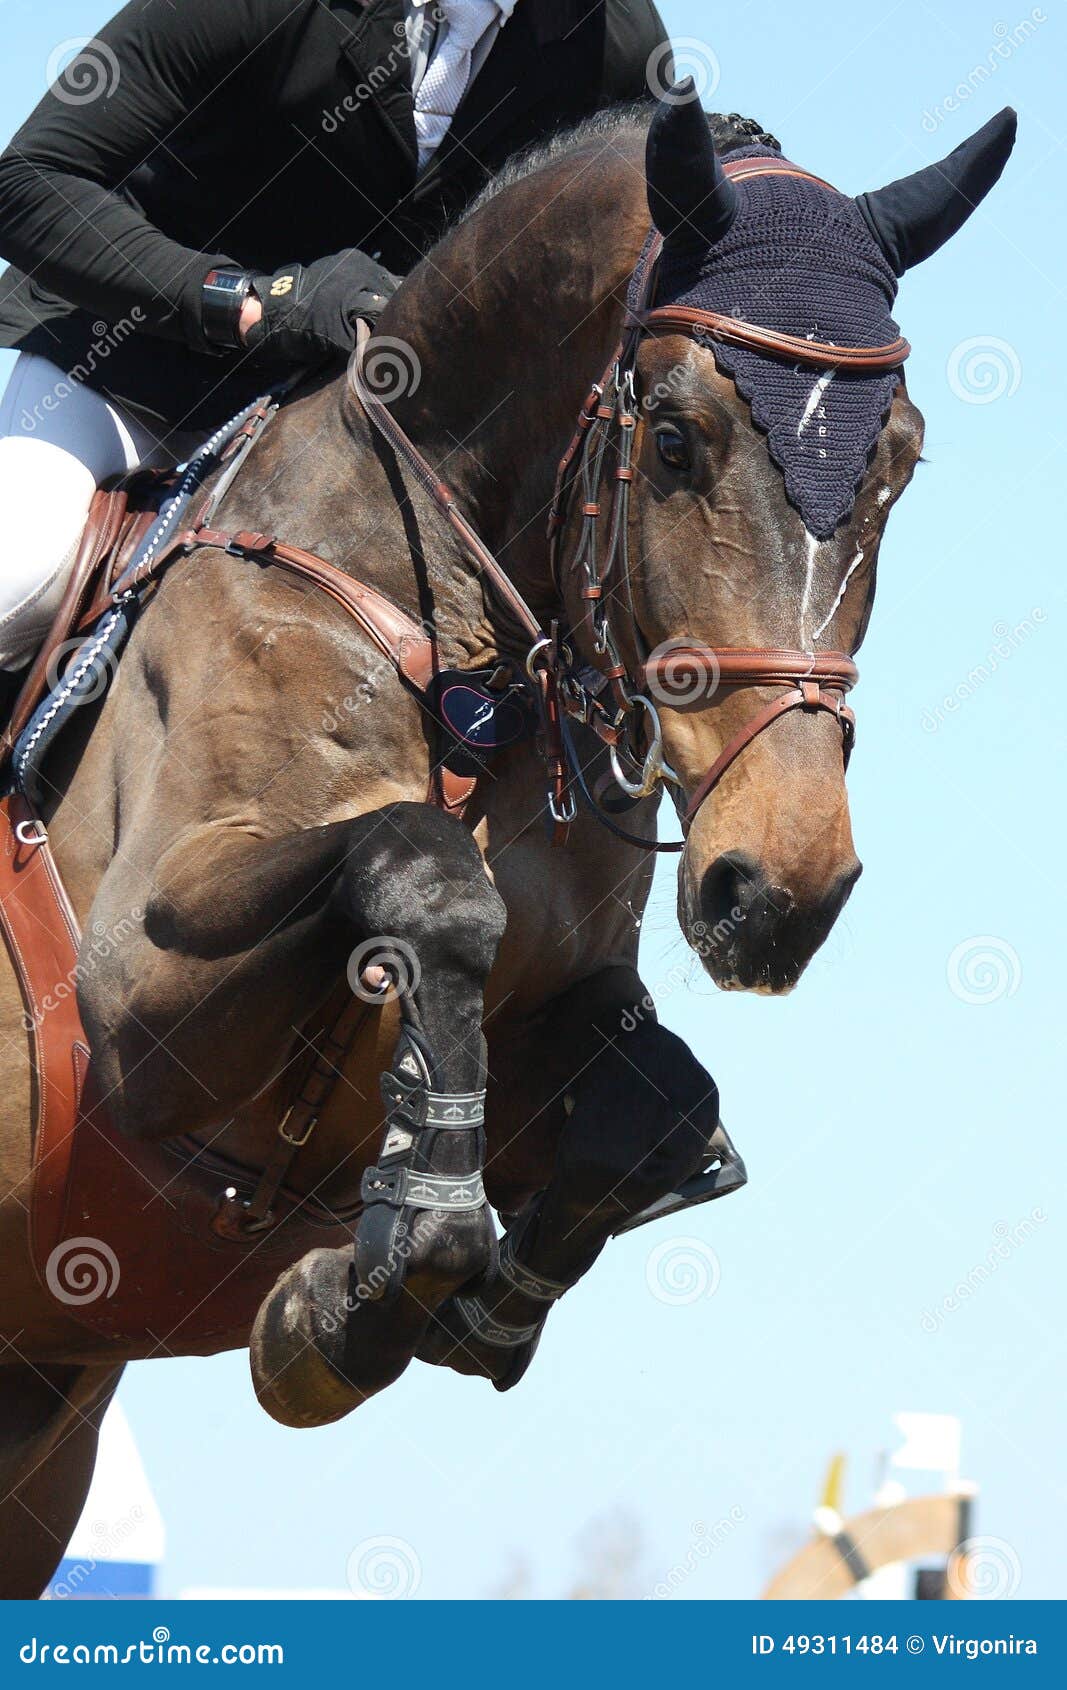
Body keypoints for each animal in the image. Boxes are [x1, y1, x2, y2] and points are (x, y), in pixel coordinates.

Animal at [0, 89, 1014, 1596]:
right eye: (672, 440)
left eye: (897, 459)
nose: (780, 890)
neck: (466, 654)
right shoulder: (137, 994)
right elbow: (423, 871)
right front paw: (371, 1277)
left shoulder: (574, 1003)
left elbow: (663, 1103)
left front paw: (419, 1307)